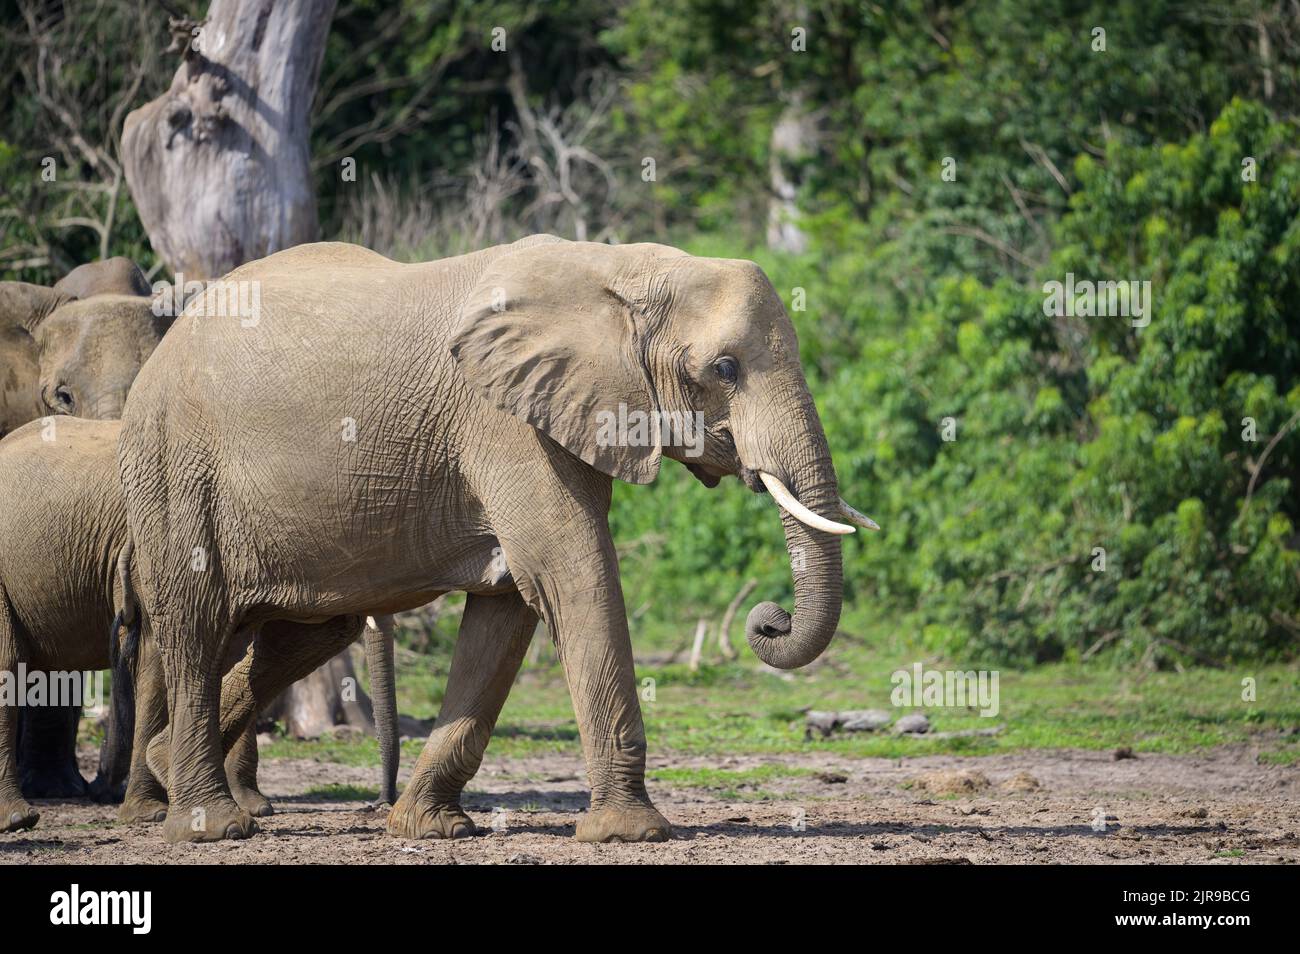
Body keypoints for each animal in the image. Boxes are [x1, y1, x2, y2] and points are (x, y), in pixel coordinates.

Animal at [0, 416, 401, 831]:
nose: (376, 804)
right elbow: (161, 657)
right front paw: (153, 812)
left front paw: (250, 807)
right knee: (9, 659)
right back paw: (25, 814)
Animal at [116, 235, 876, 844]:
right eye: (724, 369)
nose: (769, 619)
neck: (623, 267)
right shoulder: (505, 422)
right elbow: (572, 572)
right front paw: (632, 834)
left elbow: (508, 606)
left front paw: (431, 830)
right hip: (173, 465)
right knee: (192, 624)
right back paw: (210, 827)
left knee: (304, 635)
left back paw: (166, 767)